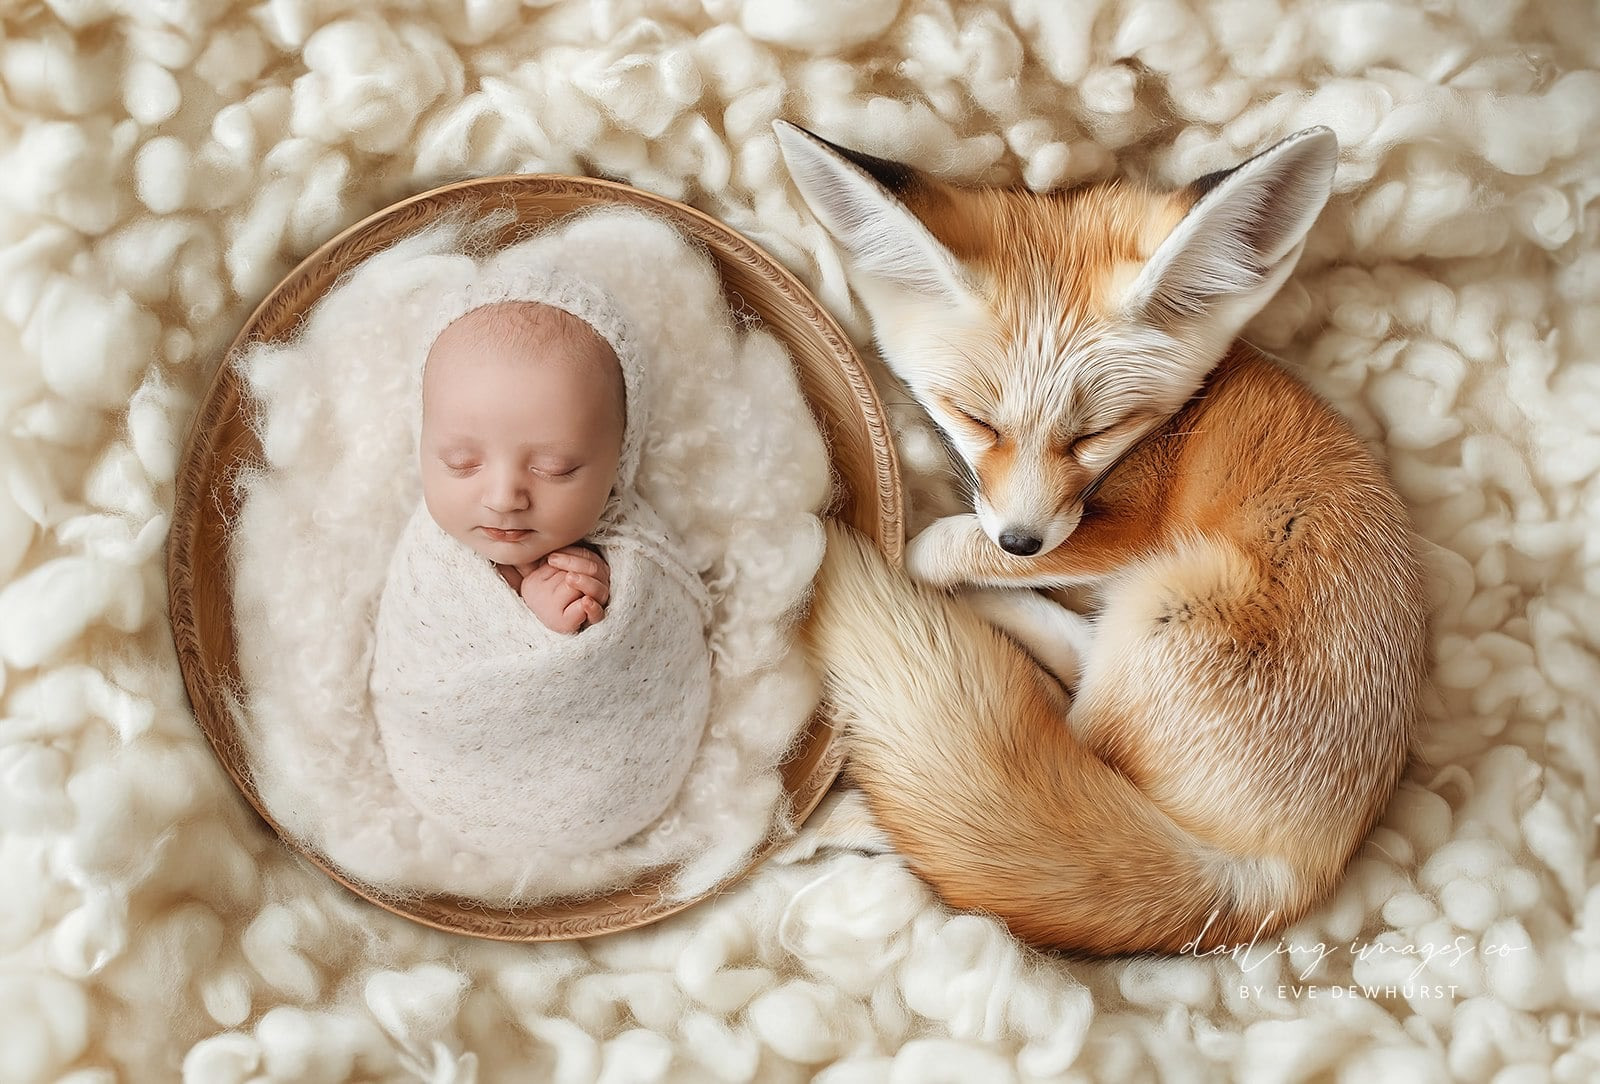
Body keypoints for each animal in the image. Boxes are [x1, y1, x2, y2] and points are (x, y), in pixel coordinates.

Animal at [773, 120, 1429, 955]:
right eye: (976, 419)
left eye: (1093, 434)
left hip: (1165, 599)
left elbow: (940, 544)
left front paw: (938, 560)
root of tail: (1291, 877)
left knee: (1042, 778)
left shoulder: (1125, 530)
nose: (1021, 545)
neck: (1169, 425)